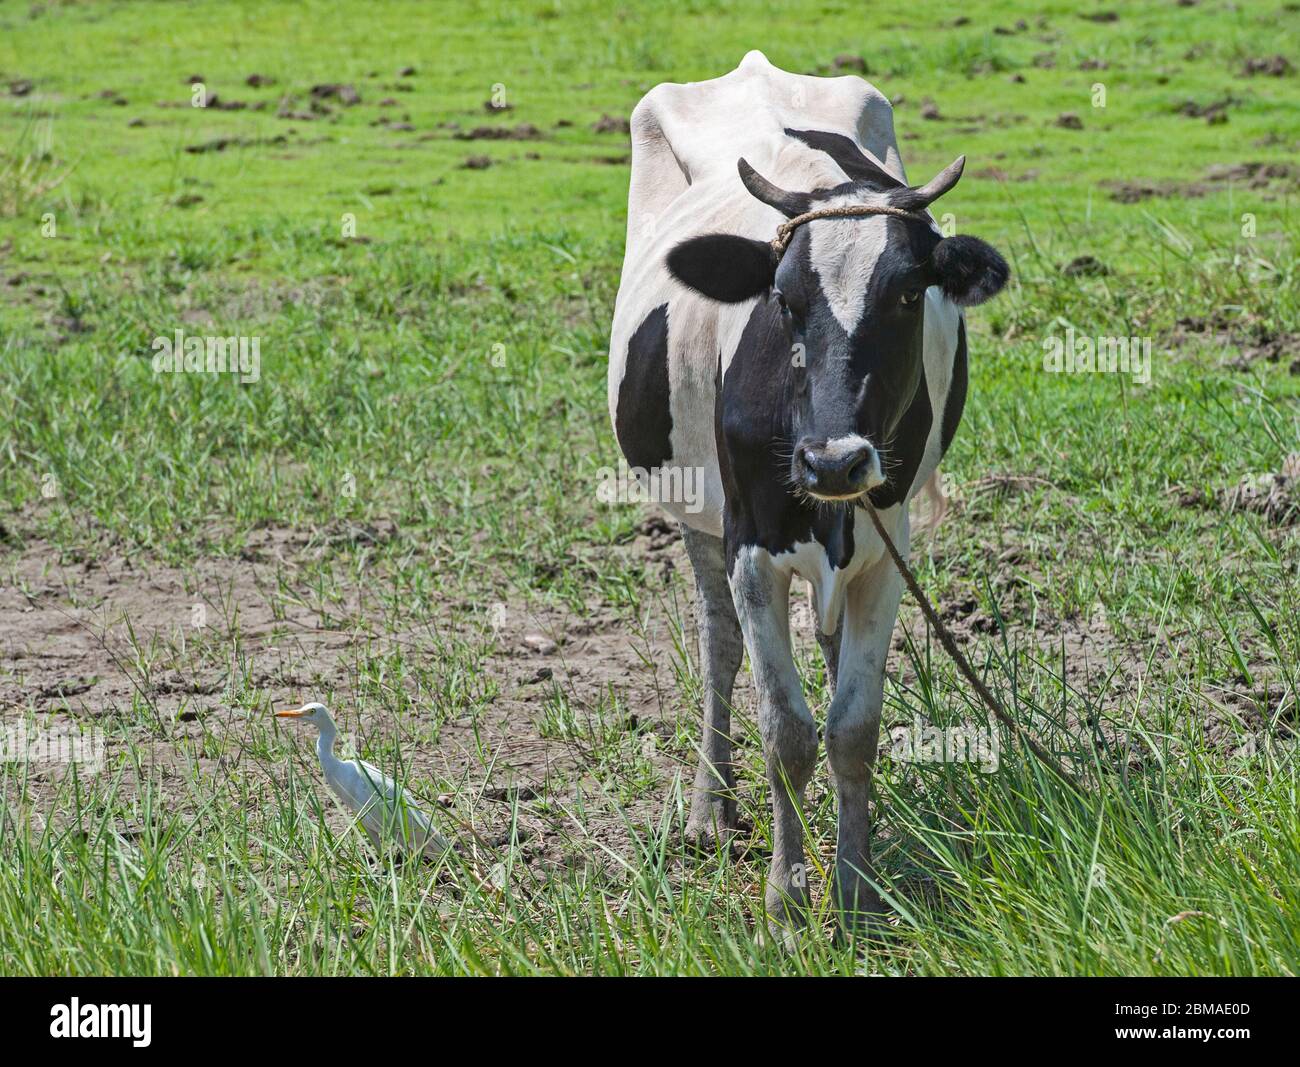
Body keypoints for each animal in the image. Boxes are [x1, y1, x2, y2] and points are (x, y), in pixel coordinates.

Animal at [607, 51, 1009, 940]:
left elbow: (851, 724)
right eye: (785, 299)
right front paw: (788, 892)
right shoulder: (751, 545)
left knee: (827, 655)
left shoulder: (886, 548)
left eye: (908, 294)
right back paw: (708, 809)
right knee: (719, 644)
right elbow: (784, 726)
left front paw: (856, 886)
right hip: (698, 510)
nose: (832, 461)